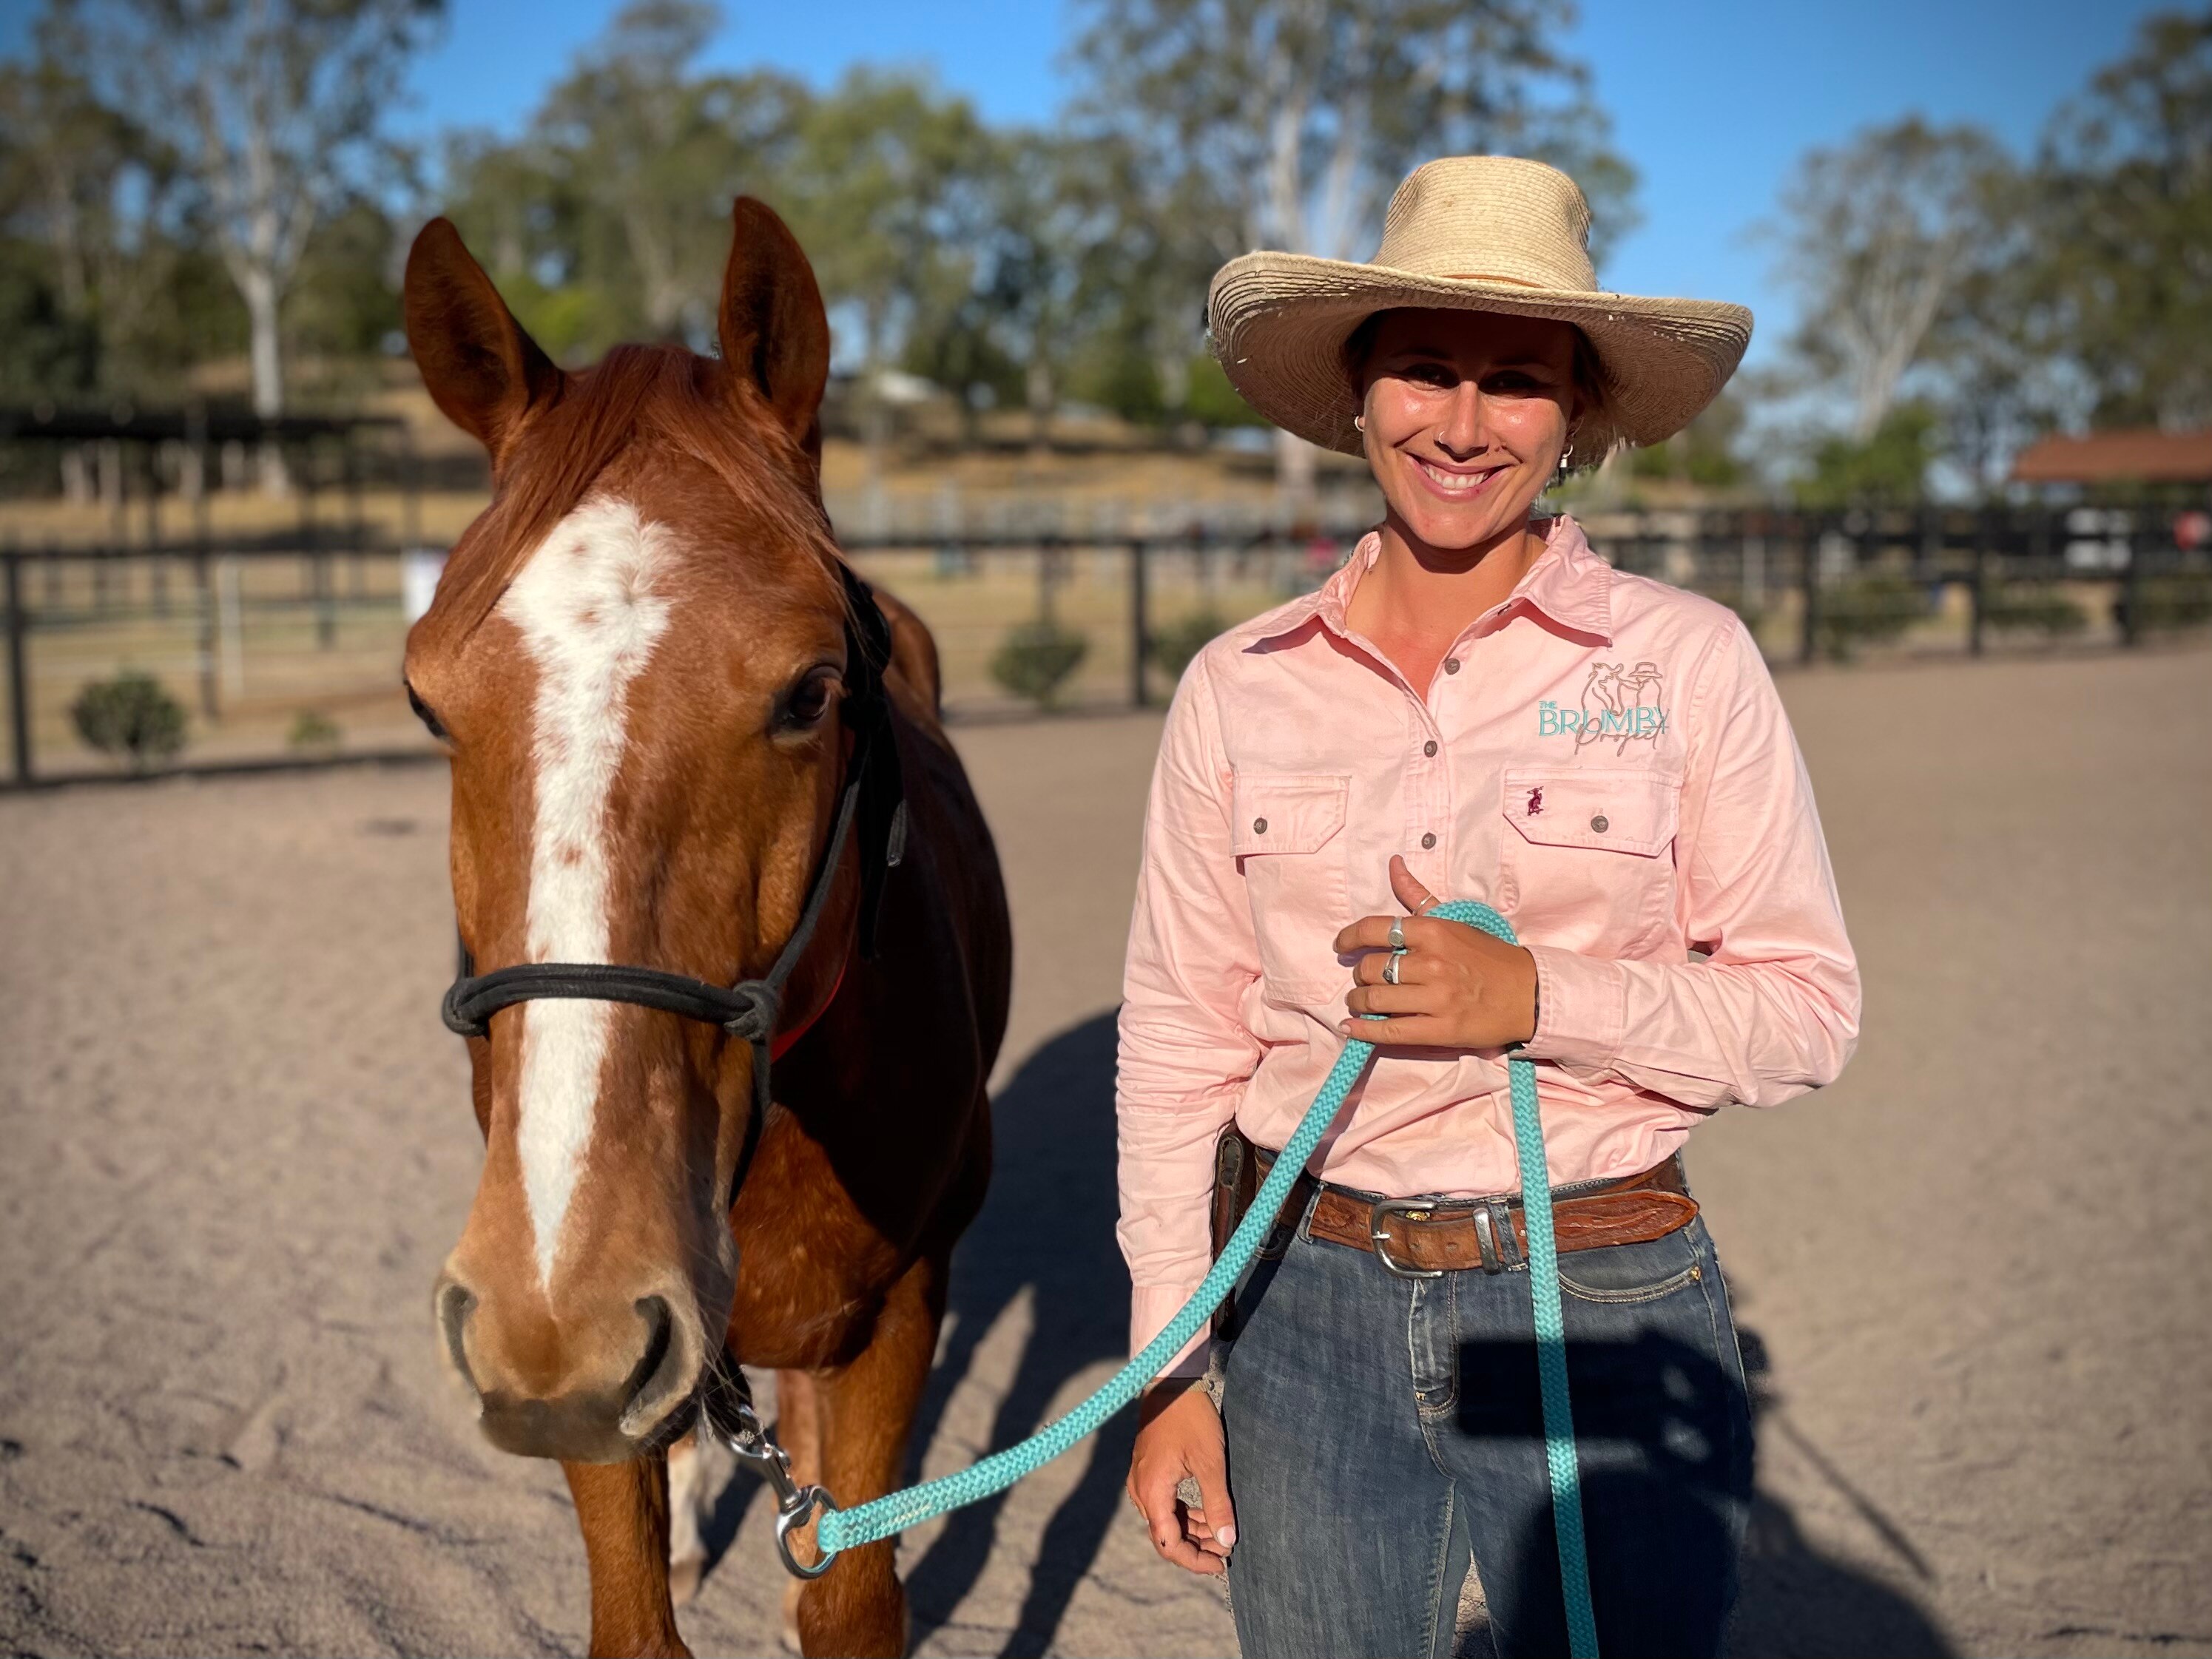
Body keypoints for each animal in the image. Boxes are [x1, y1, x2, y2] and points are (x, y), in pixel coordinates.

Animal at [399, 197, 1012, 1658]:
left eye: (811, 691)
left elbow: (852, 1596)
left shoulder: (903, 1303)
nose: (557, 1303)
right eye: (427, 702)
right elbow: (636, 1608)